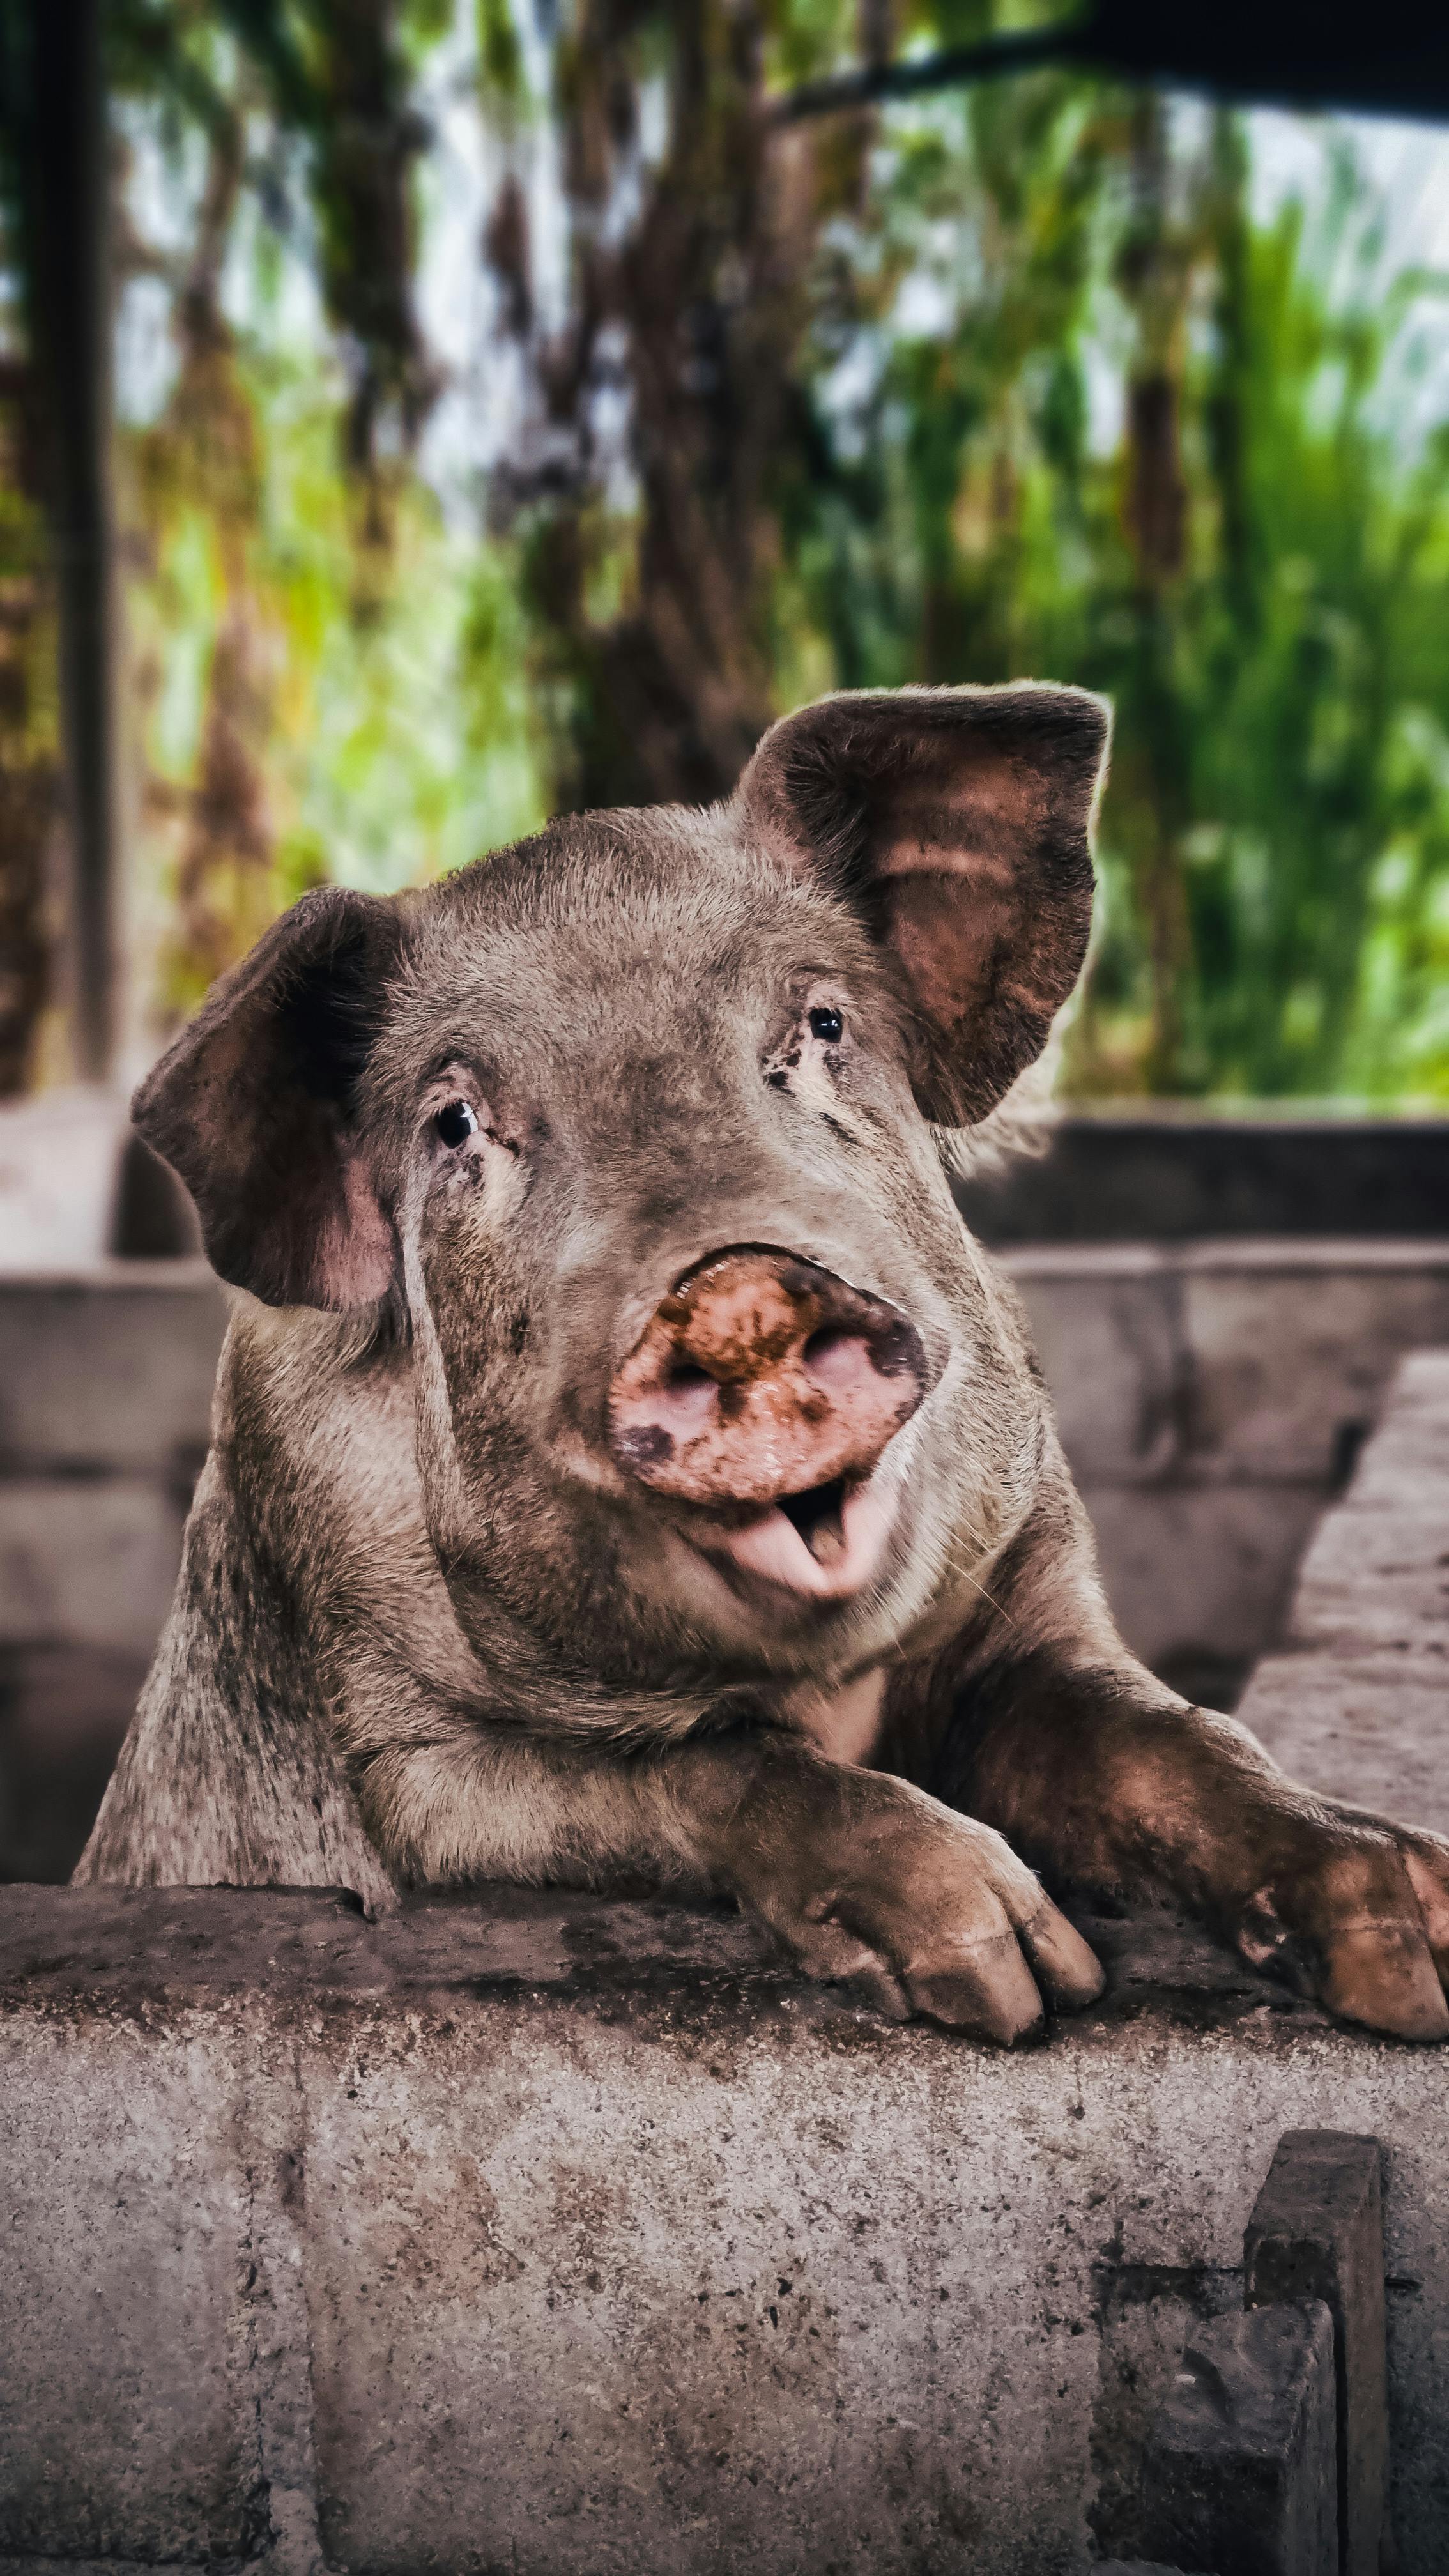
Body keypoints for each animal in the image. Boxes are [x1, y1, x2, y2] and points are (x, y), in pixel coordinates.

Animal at [76, 683, 1449, 2046]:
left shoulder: (1031, 1581)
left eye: (820, 1023)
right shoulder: (401, 1753)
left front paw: (1411, 1955)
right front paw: (1013, 1979)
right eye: (455, 1124)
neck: (824, 1682)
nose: (732, 1288)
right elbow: (702, 1764)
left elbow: (1170, 1738)